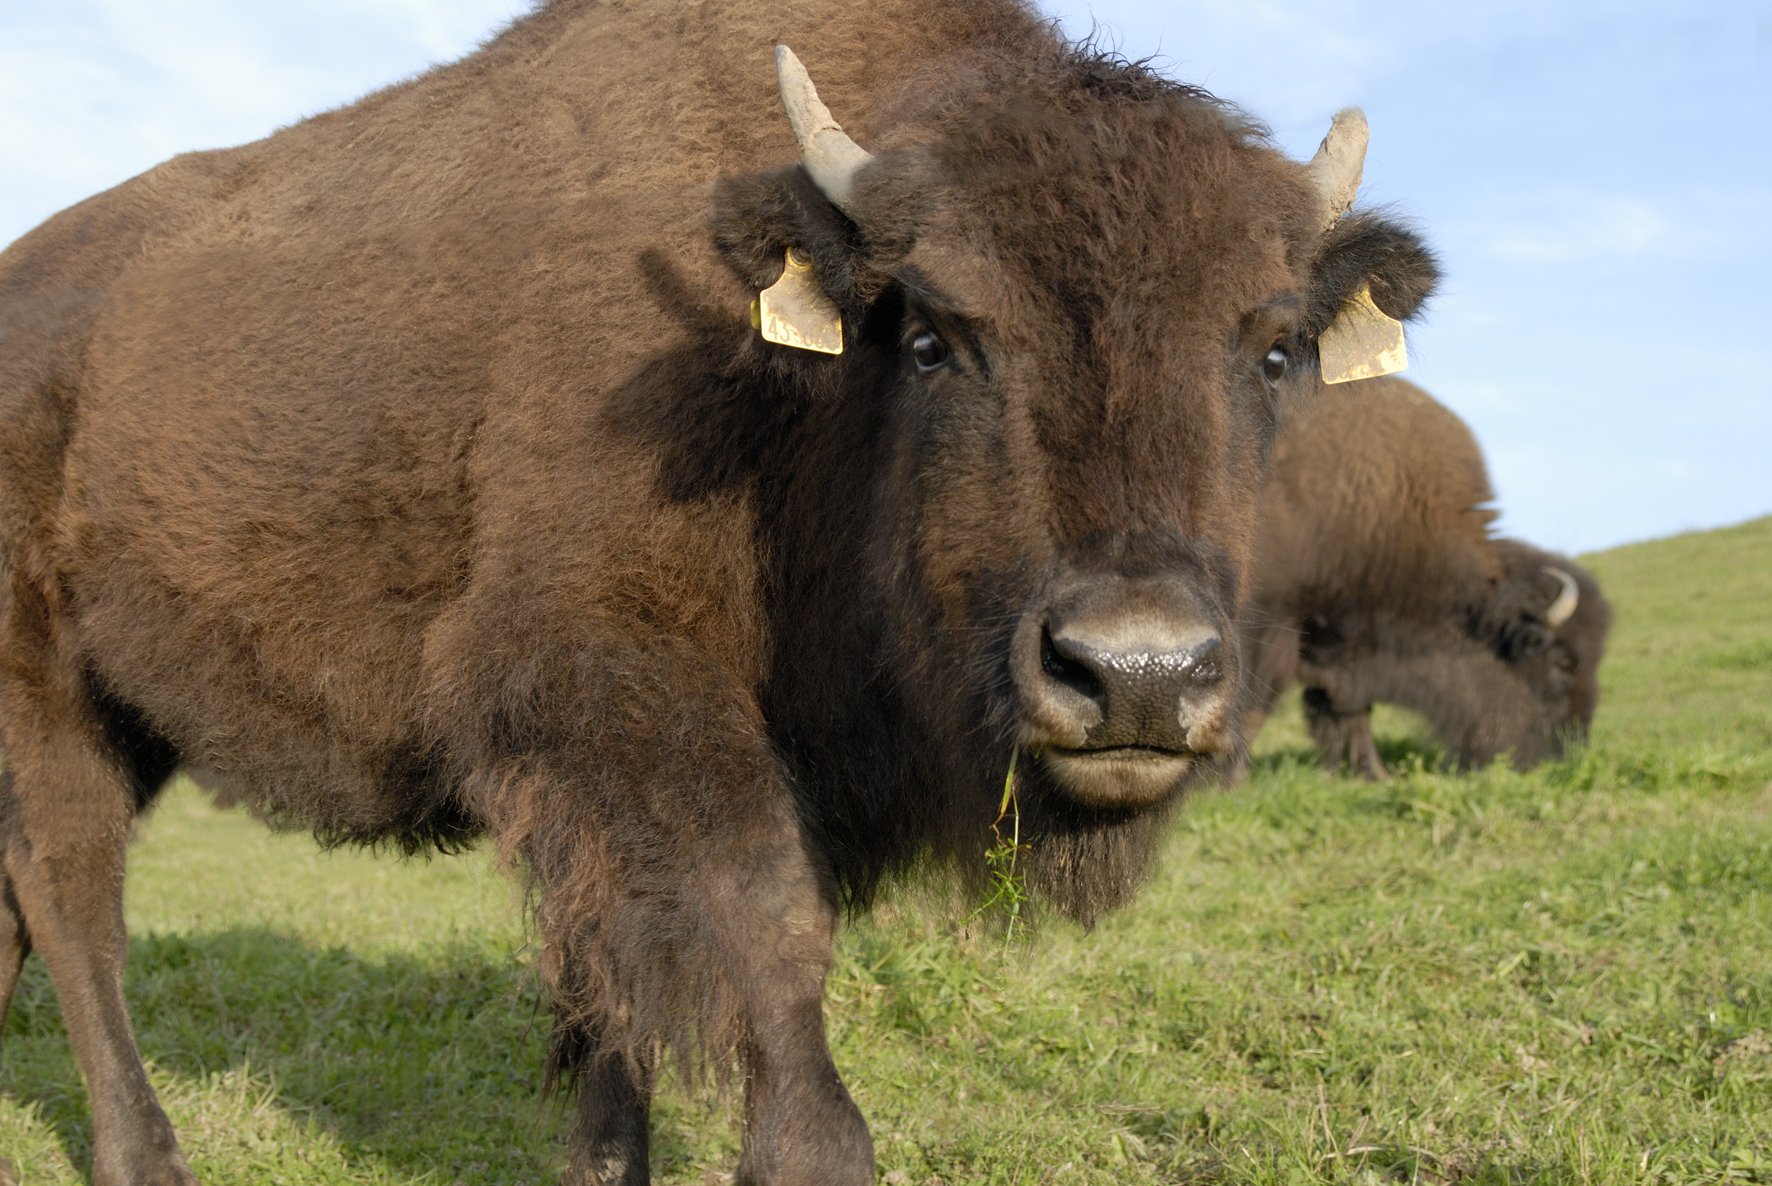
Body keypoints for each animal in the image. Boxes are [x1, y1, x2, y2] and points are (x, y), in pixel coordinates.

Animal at [0, 1, 1438, 1182]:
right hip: (45, 691)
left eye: (1271, 350)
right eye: (933, 336)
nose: (1136, 671)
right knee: (75, 894)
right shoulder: (618, 683)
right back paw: (146, 1156)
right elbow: (765, 937)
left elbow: (615, 984)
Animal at [1235, 375, 1610, 781]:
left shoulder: (1344, 645)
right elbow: (1253, 705)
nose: (1566, 754)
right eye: (1562, 665)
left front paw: (1372, 774)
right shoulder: (1272, 624)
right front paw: (1232, 780)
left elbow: (1350, 710)